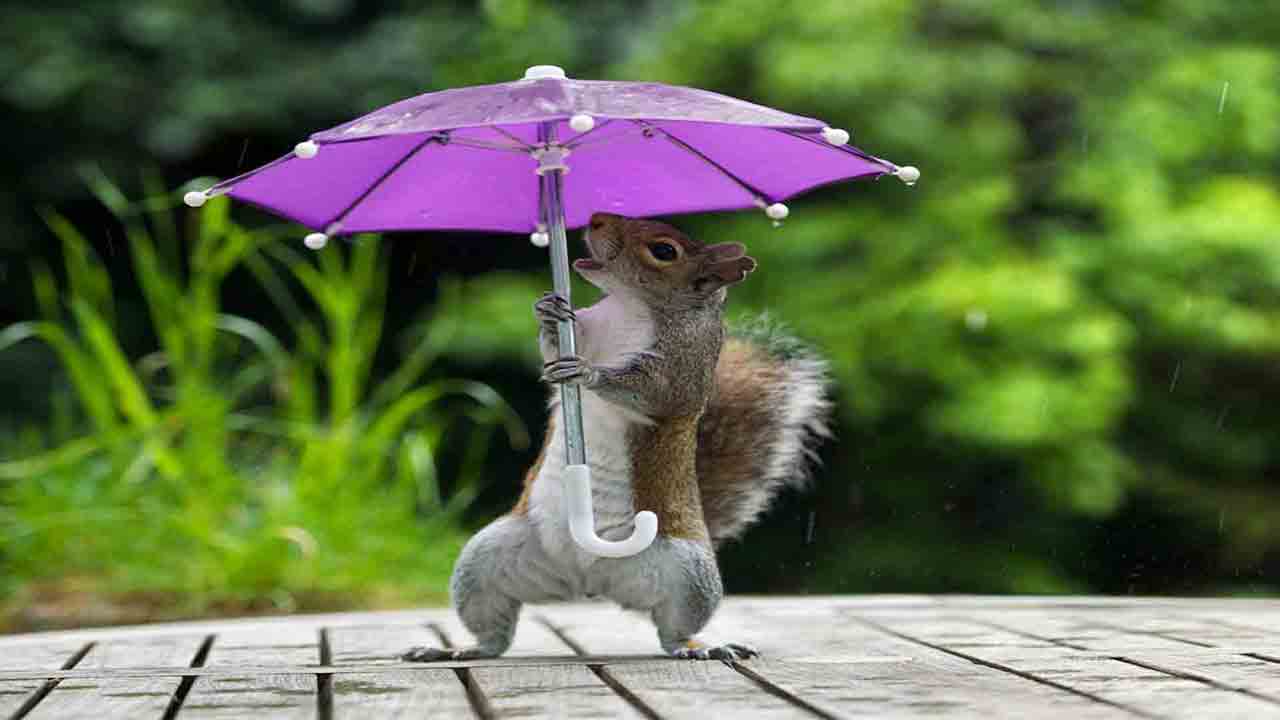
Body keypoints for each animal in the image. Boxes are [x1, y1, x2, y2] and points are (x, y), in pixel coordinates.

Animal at [403, 212, 831, 662]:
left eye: (663, 251)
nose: (595, 219)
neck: (629, 306)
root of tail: (588, 583)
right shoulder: (587, 330)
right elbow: (552, 353)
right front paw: (547, 311)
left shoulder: (680, 368)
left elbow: (649, 392)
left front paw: (589, 373)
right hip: (485, 561)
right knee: (494, 632)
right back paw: (459, 650)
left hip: (687, 575)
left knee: (673, 629)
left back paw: (698, 648)